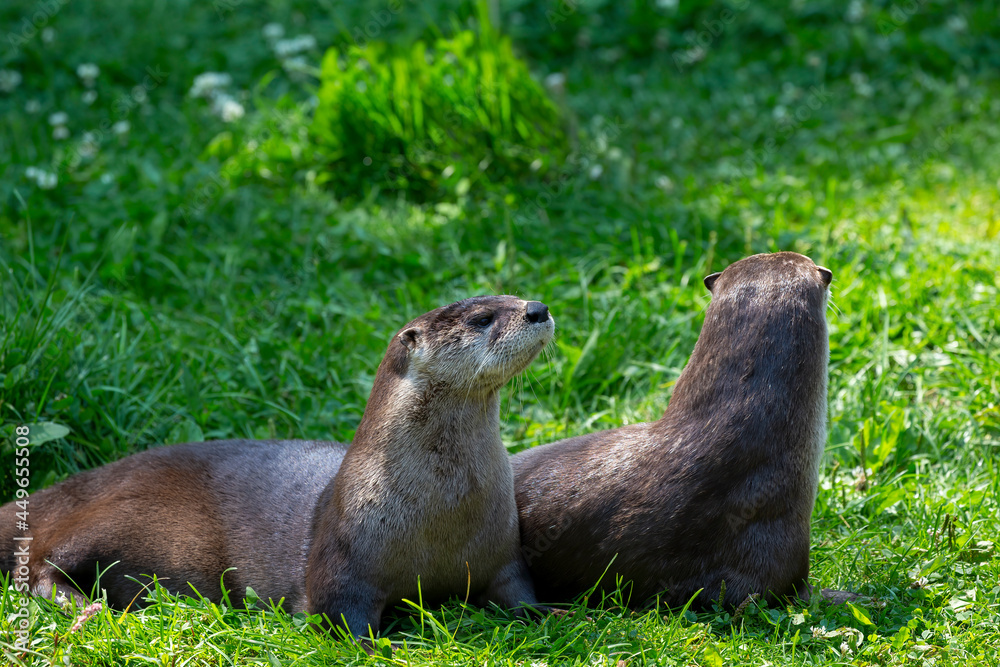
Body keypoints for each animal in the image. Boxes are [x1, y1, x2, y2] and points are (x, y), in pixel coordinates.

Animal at [2, 296, 554, 635]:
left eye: (512, 295)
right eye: (482, 318)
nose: (538, 308)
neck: (443, 507)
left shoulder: (502, 550)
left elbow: (517, 591)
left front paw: (556, 611)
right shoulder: (342, 558)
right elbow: (338, 615)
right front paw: (386, 646)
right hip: (125, 515)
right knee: (38, 560)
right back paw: (82, 605)